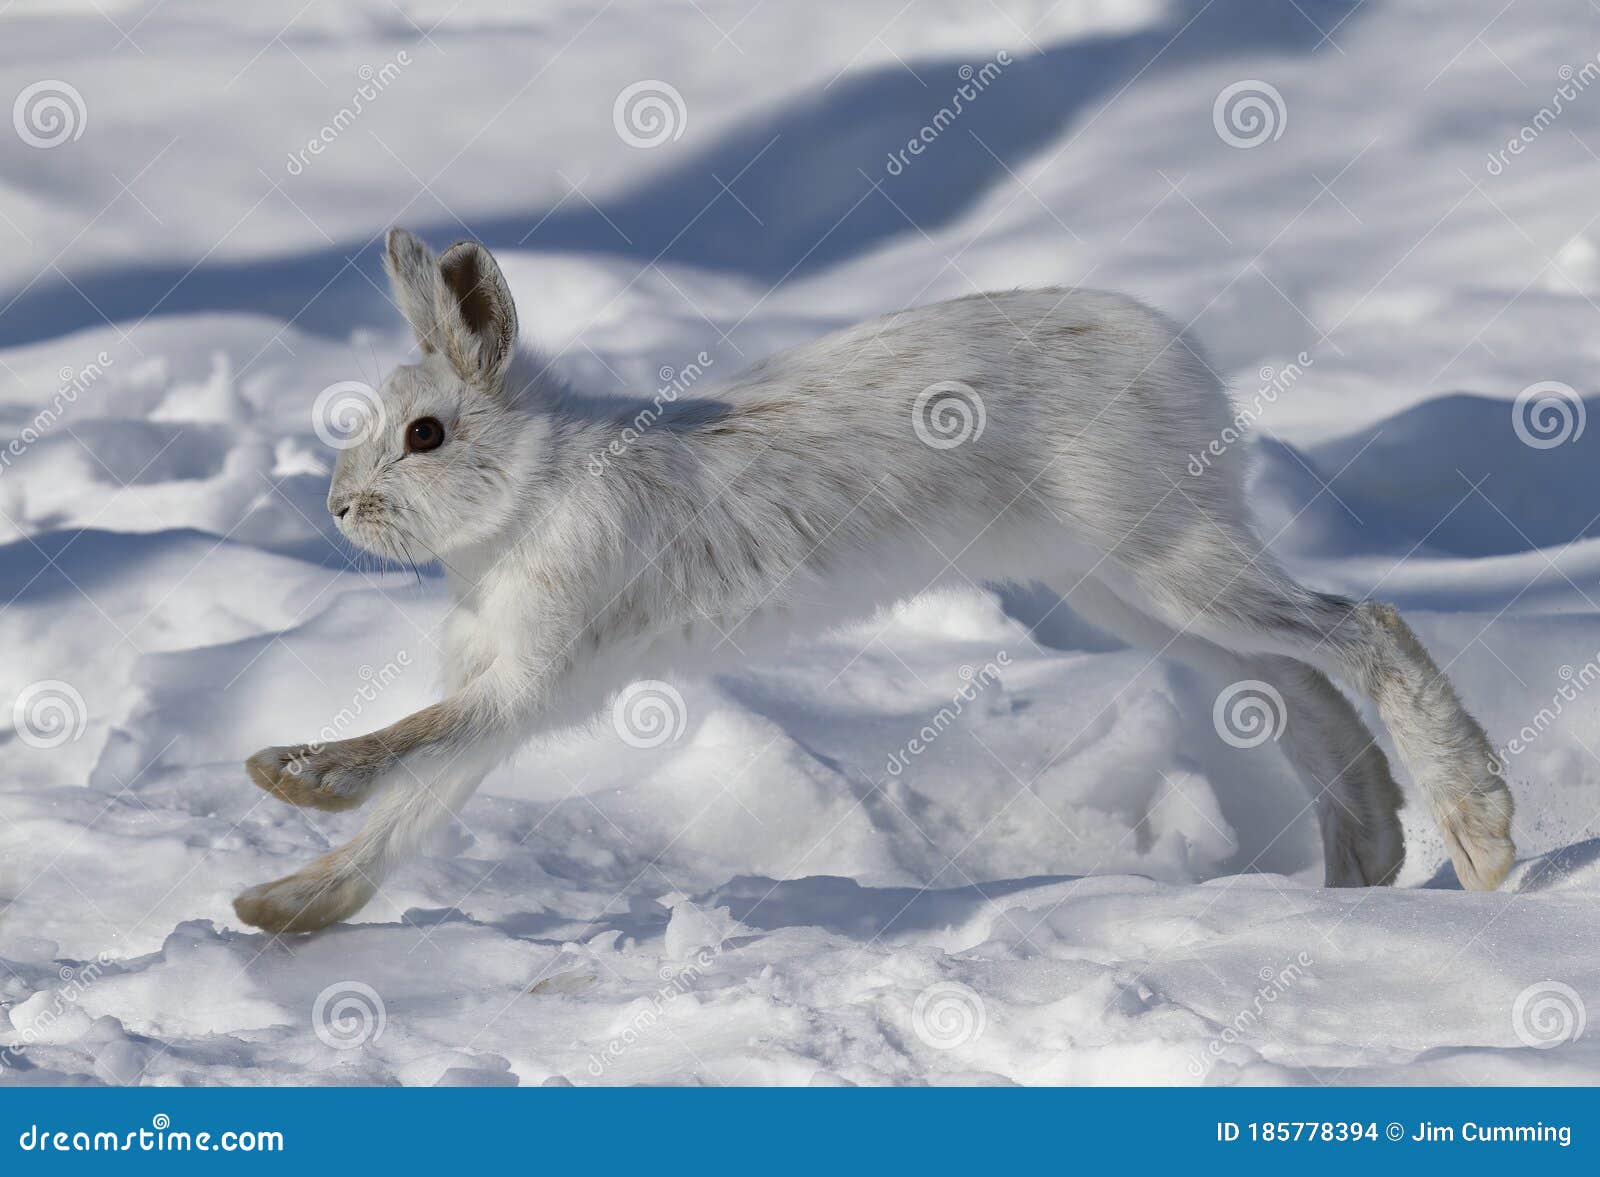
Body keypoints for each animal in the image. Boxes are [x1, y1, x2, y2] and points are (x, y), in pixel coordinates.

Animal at [232, 229, 1515, 934]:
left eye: (427, 435)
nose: (336, 508)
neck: (537, 481)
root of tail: (1175, 356)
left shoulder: (532, 674)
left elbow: (407, 744)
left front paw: (291, 774)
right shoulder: (510, 699)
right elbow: (411, 812)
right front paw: (280, 912)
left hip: (1162, 556)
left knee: (1360, 627)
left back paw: (1482, 840)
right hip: (1123, 586)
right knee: (1297, 684)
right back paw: (1361, 867)